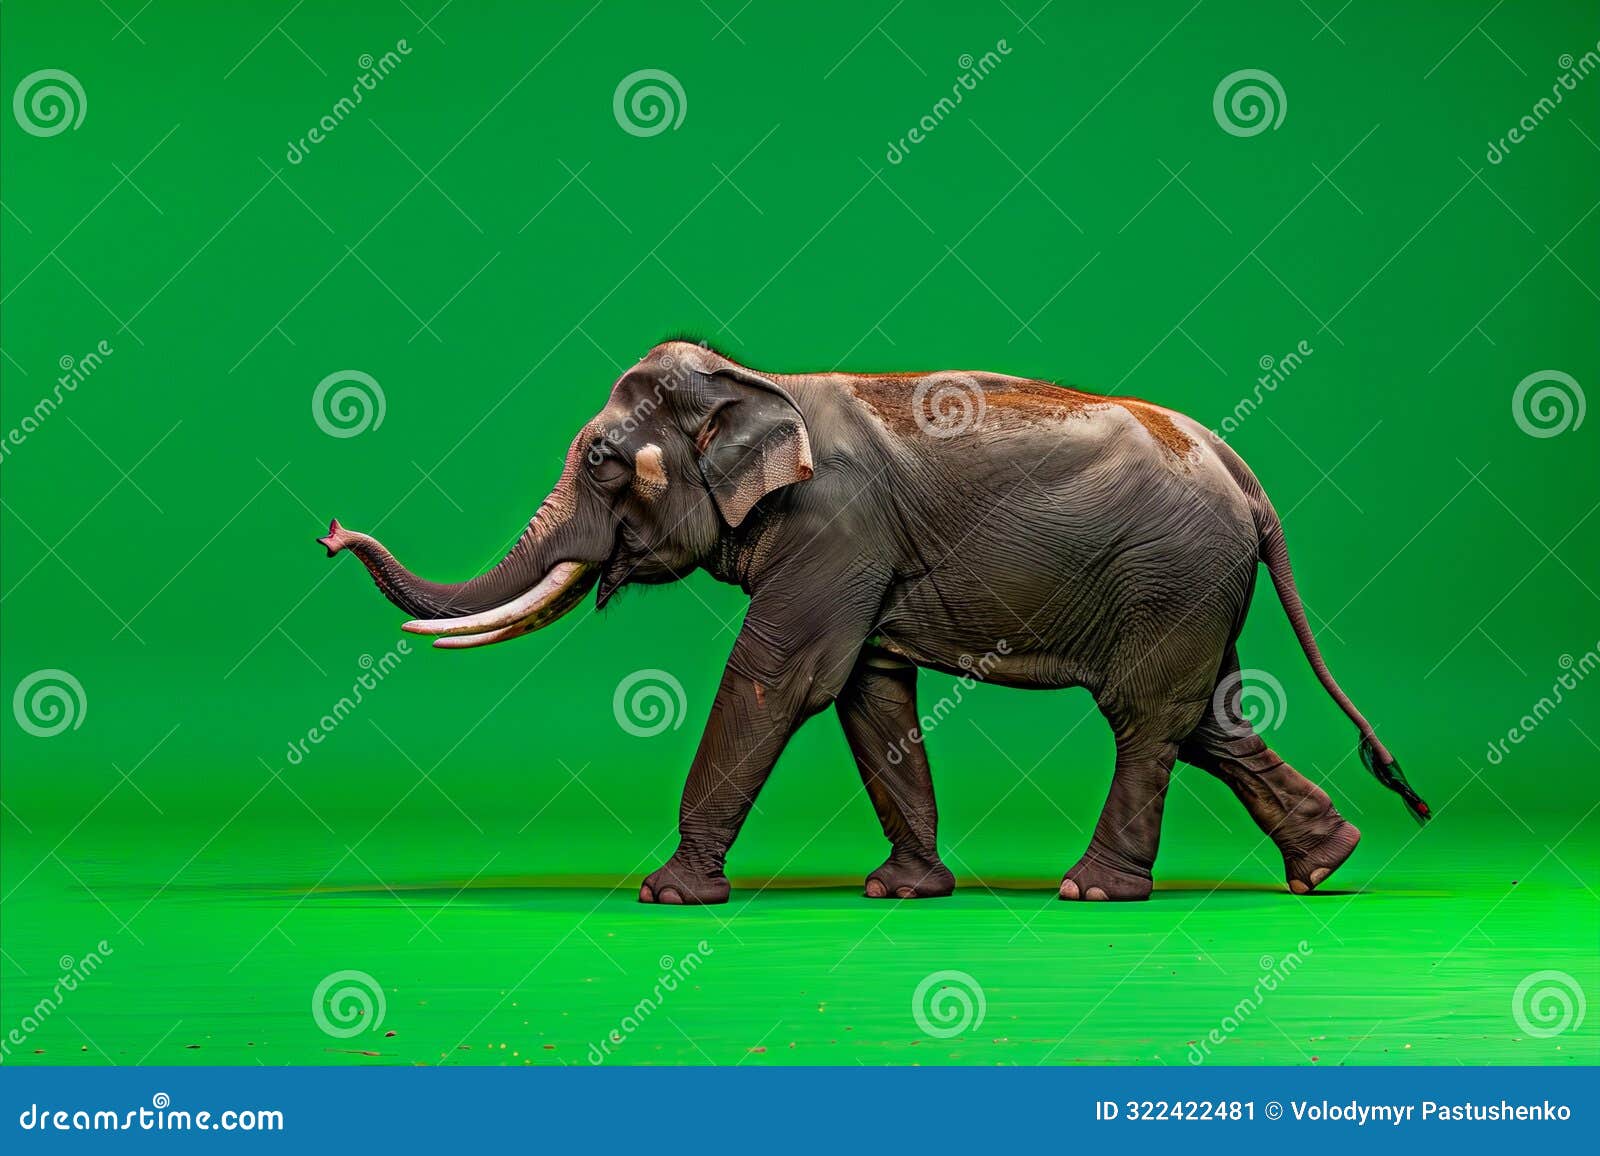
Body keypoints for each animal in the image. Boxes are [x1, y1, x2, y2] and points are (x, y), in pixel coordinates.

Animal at [319, 339, 1429, 904]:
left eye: (601, 461)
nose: (330, 534)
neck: (762, 383)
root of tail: (1249, 480)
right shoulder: (855, 559)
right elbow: (866, 693)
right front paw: (902, 891)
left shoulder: (834, 530)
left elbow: (780, 675)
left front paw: (666, 894)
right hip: (1194, 586)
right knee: (1207, 719)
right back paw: (1326, 863)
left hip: (1170, 575)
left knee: (1146, 715)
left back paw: (1091, 891)